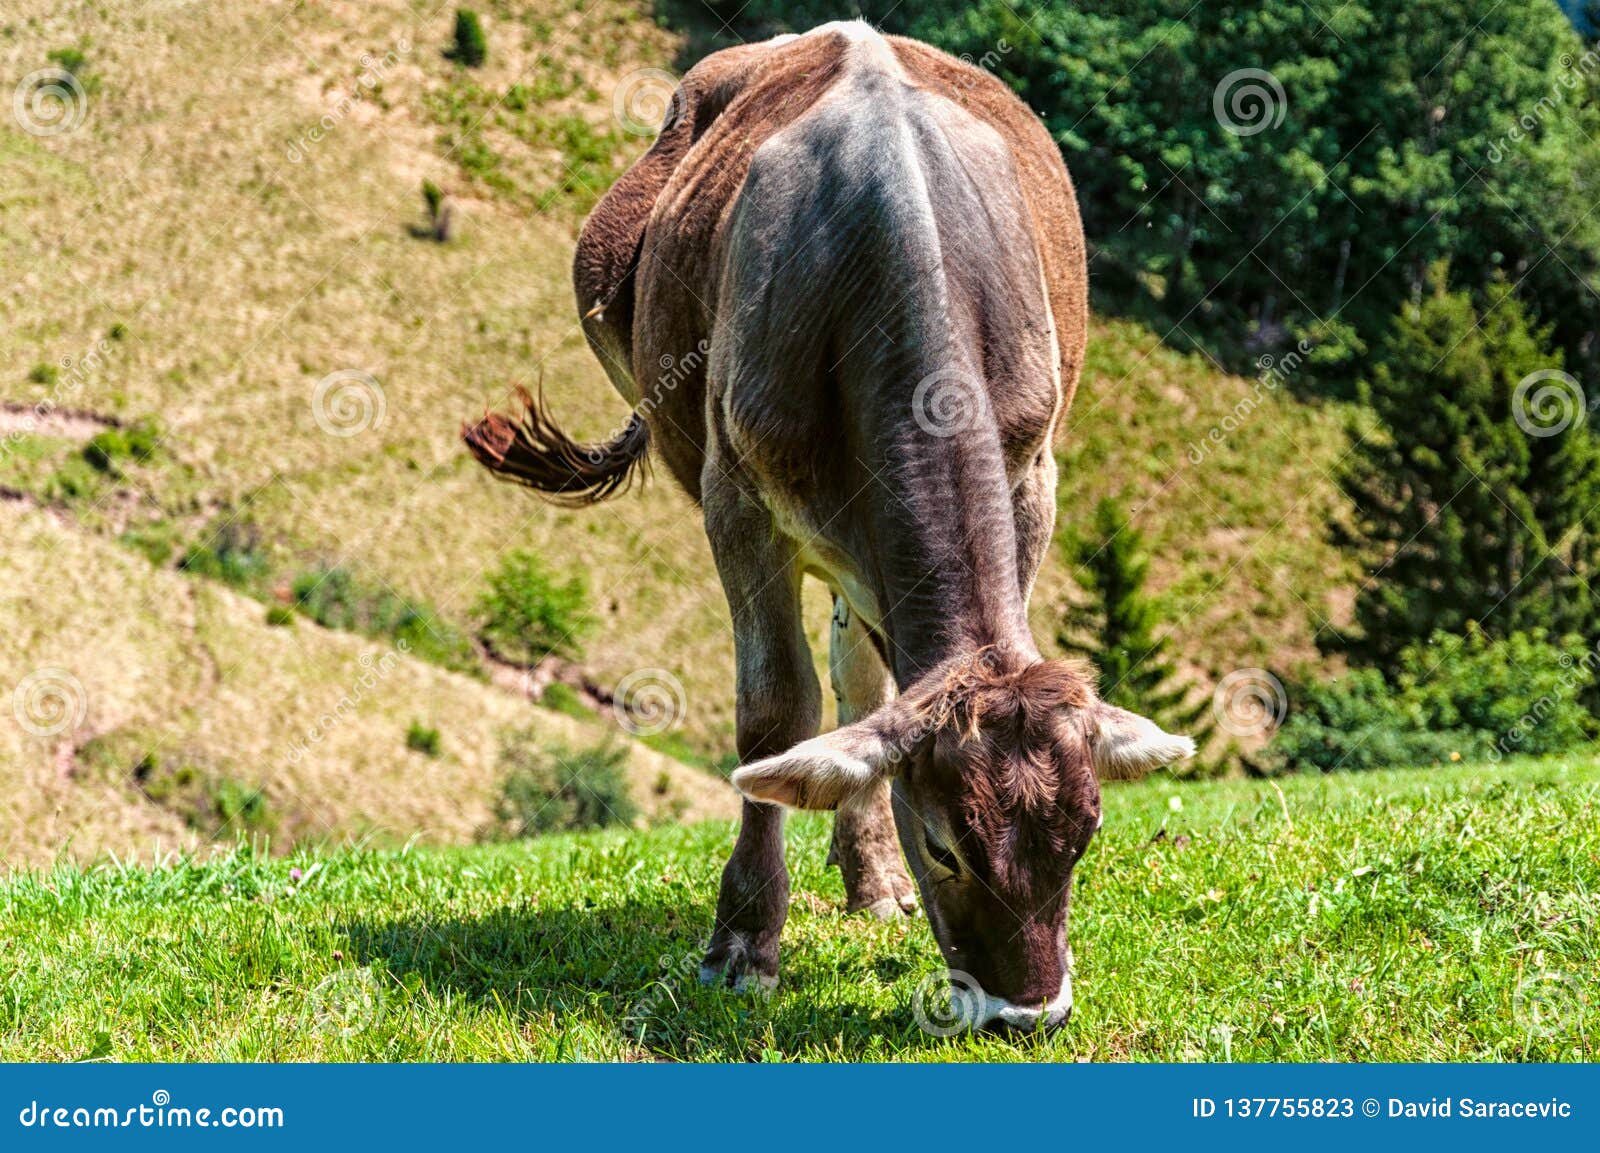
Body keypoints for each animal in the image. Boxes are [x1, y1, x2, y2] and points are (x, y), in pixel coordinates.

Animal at [464, 21, 1196, 1032]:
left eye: (1085, 833)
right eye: (945, 844)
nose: (1030, 1014)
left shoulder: (1033, 478)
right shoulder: (738, 502)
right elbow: (774, 713)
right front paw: (743, 942)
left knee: (861, 669)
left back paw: (870, 879)